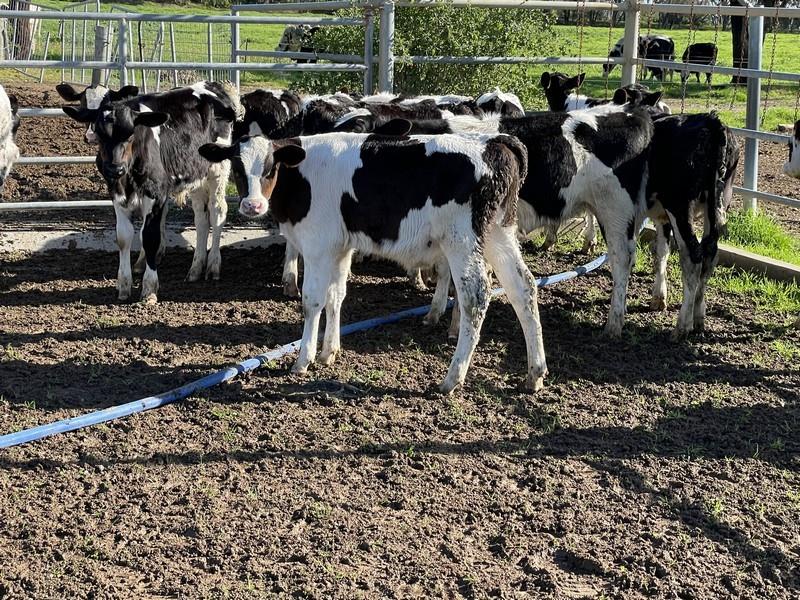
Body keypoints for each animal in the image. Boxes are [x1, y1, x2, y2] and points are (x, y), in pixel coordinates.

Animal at [63, 82, 242, 303]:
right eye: (100, 133)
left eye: (130, 134)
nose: (115, 168)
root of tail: (213, 85)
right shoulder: (116, 194)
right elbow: (123, 237)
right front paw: (124, 284)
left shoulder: (155, 193)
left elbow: (149, 237)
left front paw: (149, 288)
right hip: (196, 174)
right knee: (201, 219)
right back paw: (196, 267)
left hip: (217, 170)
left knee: (218, 212)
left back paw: (213, 266)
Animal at [200, 132, 547, 394]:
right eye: (237, 167)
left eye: (271, 168)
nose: (252, 206)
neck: (301, 178)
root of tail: (496, 142)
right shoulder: (339, 247)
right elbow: (336, 296)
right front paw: (329, 352)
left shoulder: (317, 246)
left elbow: (312, 302)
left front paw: (303, 359)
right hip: (499, 233)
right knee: (523, 288)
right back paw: (534, 373)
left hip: (461, 240)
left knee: (476, 297)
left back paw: (452, 379)